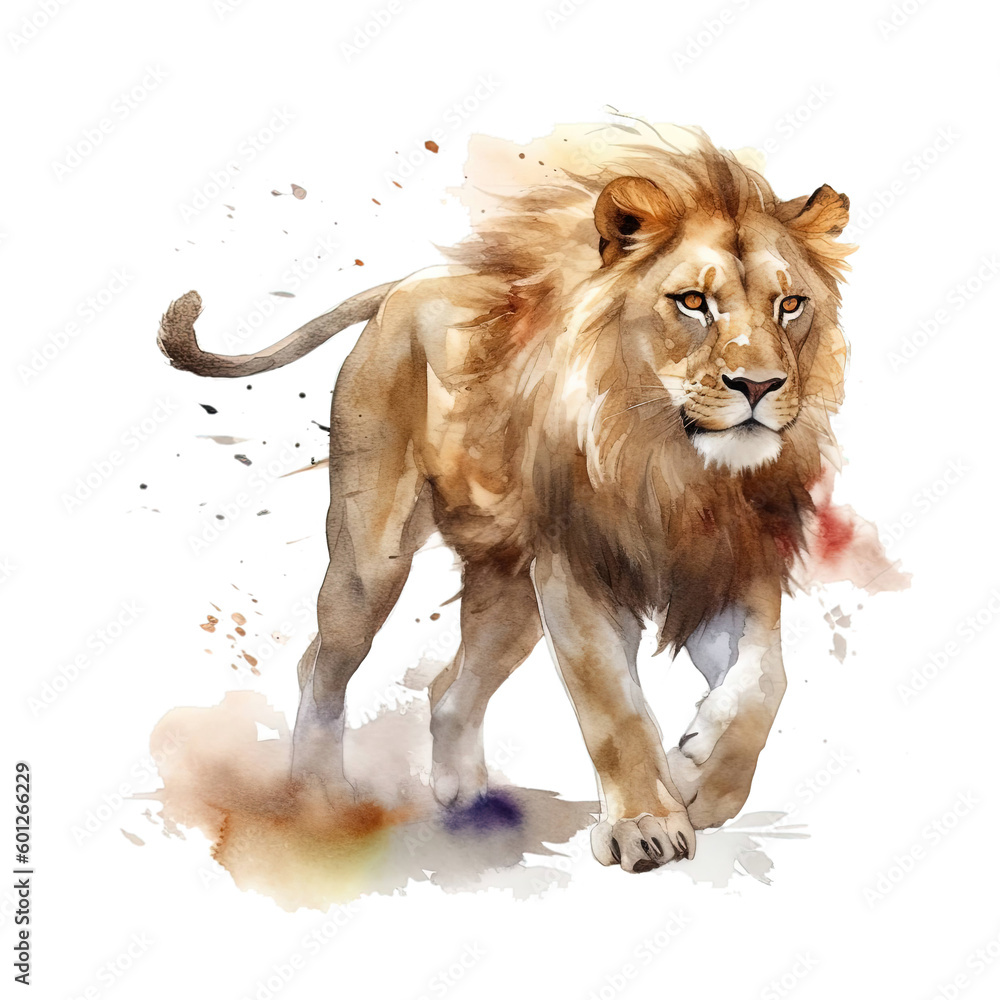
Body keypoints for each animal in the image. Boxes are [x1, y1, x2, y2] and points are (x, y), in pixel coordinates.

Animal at [157, 122, 853, 873]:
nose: (758, 386)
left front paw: (699, 777)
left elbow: (764, 686)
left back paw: (465, 795)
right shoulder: (576, 572)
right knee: (321, 662)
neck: (676, 468)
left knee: (447, 688)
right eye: (693, 302)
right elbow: (613, 708)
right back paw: (321, 797)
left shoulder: (728, 569)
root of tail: (408, 284)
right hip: (373, 560)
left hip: (511, 590)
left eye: (790, 304)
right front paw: (644, 824)